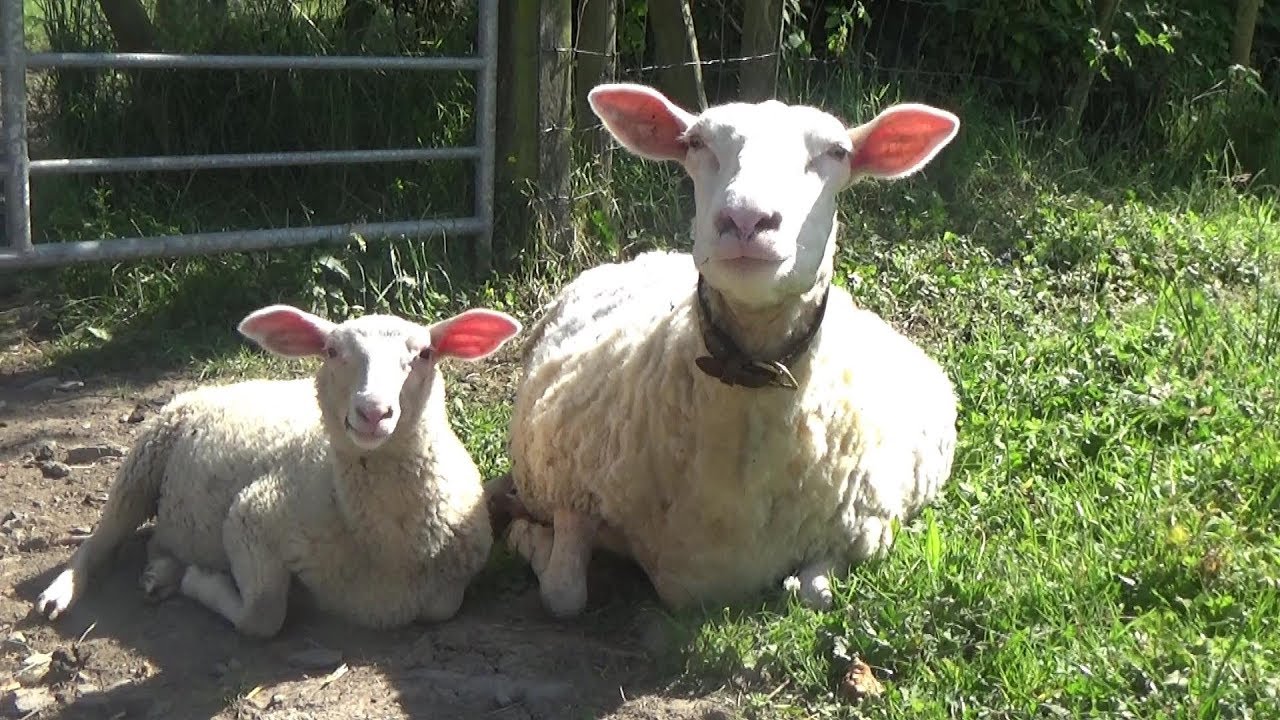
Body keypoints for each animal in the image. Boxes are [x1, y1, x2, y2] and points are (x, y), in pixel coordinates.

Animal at [34, 304, 521, 637]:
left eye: (424, 354)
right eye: (331, 351)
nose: (372, 412)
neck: (390, 547)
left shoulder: (449, 586)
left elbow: (443, 607)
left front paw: (186, 577)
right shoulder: (251, 515)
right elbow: (262, 615)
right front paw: (201, 582)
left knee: (154, 543)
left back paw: (162, 573)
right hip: (143, 459)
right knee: (100, 540)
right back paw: (61, 593)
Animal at [503, 83, 961, 617]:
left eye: (836, 152)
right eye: (697, 143)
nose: (745, 219)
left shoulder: (867, 529)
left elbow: (818, 595)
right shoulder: (569, 488)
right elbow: (564, 594)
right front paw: (526, 538)